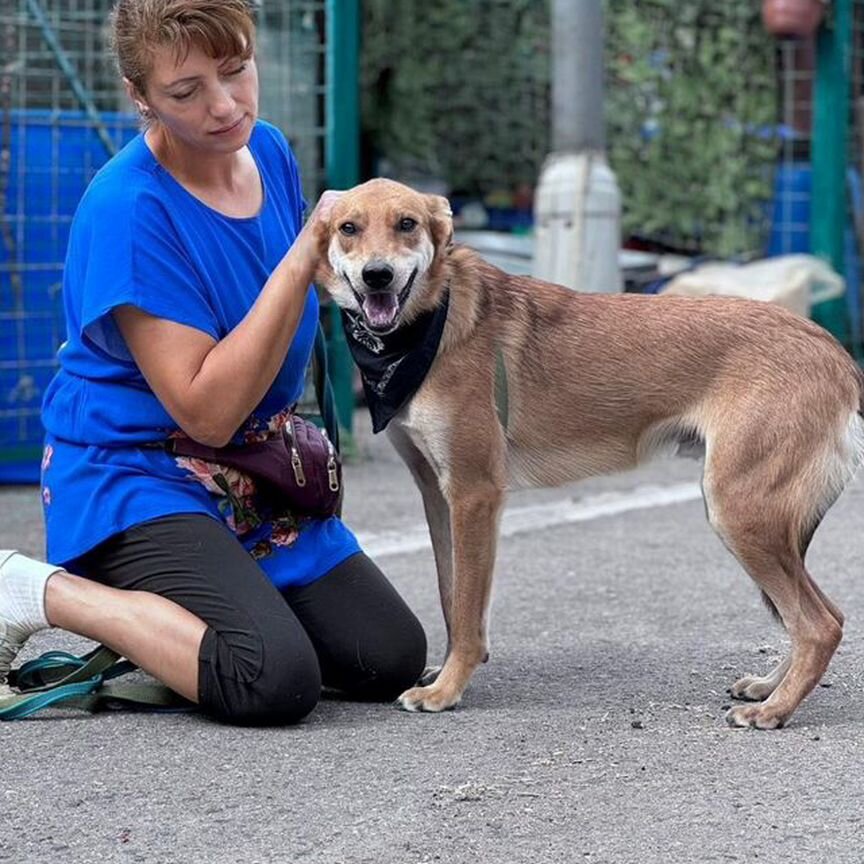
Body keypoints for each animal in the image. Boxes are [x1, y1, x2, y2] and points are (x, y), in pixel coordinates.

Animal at [316, 177, 864, 728]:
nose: (377, 276)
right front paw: (446, 674)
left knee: (820, 624)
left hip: (739, 512)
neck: (429, 327)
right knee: (819, 616)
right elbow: (452, 601)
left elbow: (468, 612)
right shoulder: (438, 496)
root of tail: (831, 348)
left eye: (407, 224)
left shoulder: (474, 496)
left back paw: (775, 709)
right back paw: (771, 688)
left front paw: (448, 689)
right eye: (349, 228)